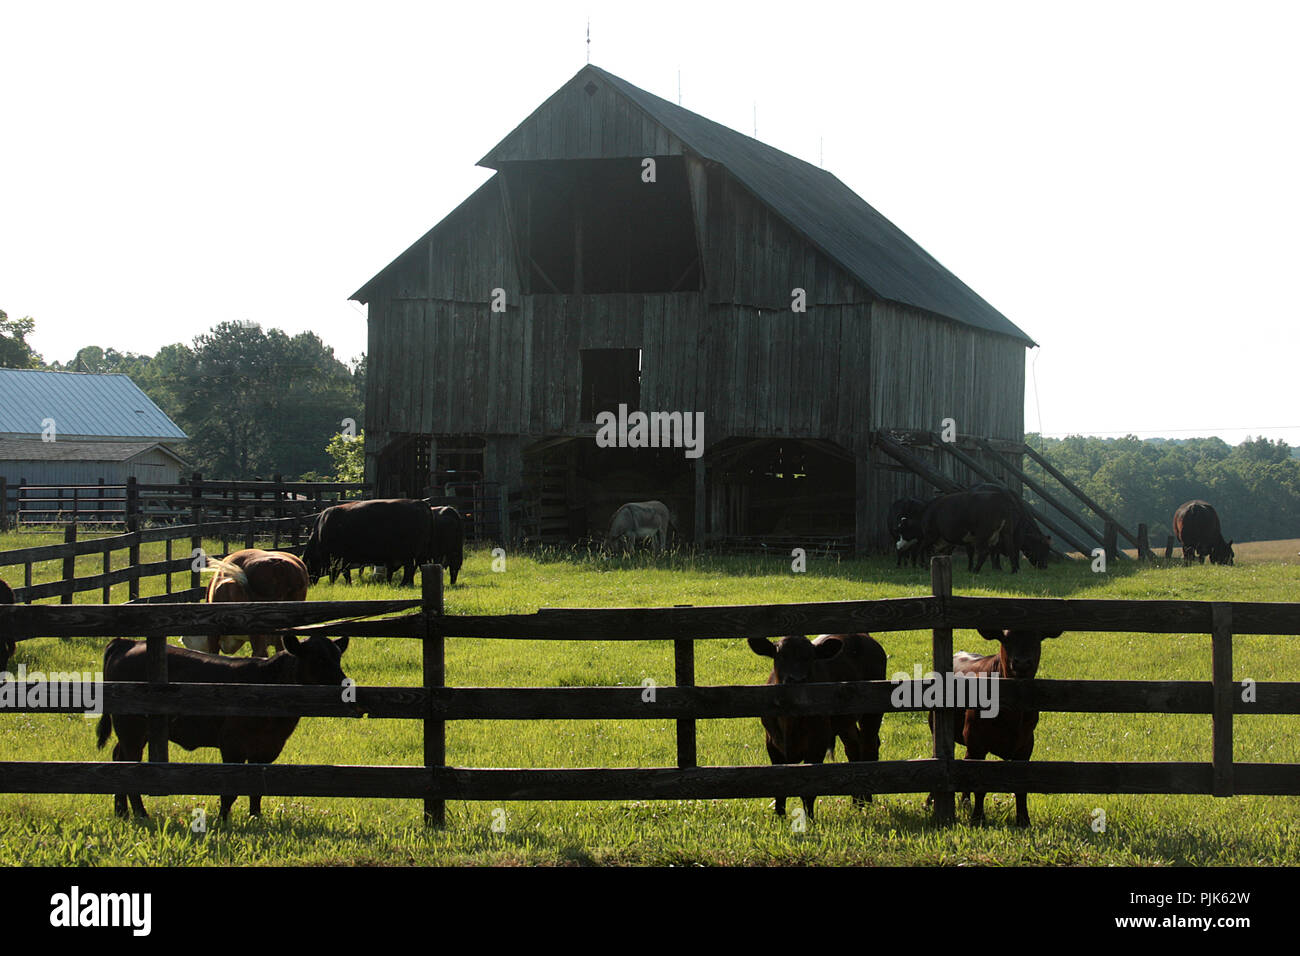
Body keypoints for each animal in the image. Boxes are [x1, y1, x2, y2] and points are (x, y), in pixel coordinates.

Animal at [96, 634, 352, 820]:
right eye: (318, 659)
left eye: (337, 657)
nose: (345, 683)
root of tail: (127, 643)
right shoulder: (232, 745)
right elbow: (231, 789)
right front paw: (223, 819)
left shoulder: (267, 748)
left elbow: (256, 788)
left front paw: (255, 817)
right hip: (131, 730)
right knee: (130, 766)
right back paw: (140, 813)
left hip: (134, 733)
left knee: (118, 757)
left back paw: (121, 812)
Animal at [304, 498, 435, 586]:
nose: (309, 584)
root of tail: (420, 503)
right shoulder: (343, 559)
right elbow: (345, 573)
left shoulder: (336, 559)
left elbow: (337, 573)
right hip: (419, 553)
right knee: (416, 567)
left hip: (409, 553)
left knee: (410, 568)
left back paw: (403, 584)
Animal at [748, 633, 887, 823]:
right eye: (781, 656)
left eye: (810, 657)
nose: (797, 680)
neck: (791, 721)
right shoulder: (772, 744)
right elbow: (780, 787)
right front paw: (780, 818)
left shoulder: (817, 744)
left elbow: (809, 790)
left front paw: (810, 820)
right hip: (845, 723)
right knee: (854, 749)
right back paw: (856, 804)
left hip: (872, 713)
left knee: (869, 750)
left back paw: (867, 802)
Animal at [928, 627, 1063, 826]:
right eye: (1005, 639)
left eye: (1037, 638)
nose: (1022, 663)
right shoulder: (977, 742)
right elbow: (980, 784)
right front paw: (977, 818)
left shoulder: (1025, 745)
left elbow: (1022, 786)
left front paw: (1024, 821)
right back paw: (930, 802)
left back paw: (964, 802)